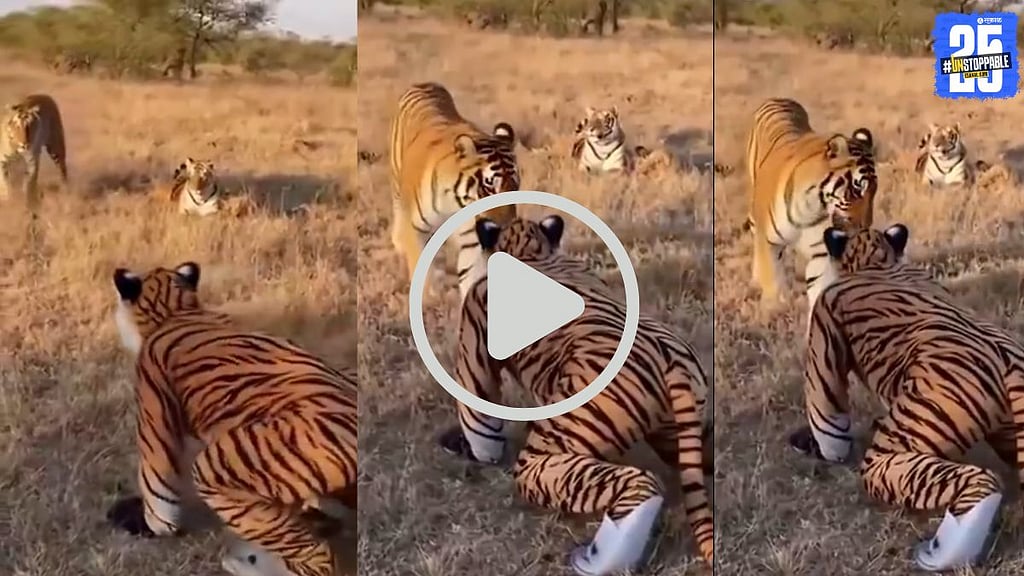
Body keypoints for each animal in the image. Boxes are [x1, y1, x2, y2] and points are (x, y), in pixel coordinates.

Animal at [389, 81, 521, 302]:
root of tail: (424, 83)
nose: (505, 226)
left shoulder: (471, 240)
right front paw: (429, 299)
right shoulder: (416, 230)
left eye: (515, 187)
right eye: (489, 186)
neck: (455, 202)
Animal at [437, 215, 713, 575]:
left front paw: (473, 450)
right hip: (679, 428)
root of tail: (671, 363)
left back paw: (598, 560)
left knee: (639, 485)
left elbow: (477, 416)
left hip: (548, 452)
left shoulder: (475, 337)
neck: (531, 251)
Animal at [742, 97, 878, 324]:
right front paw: (773, 311)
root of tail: (779, 98)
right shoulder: (768, 243)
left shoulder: (820, 254)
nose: (865, 225)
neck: (811, 207)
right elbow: (773, 284)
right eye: (857, 188)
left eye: (875, 191)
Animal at [788, 223, 1024, 572]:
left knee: (978, 482)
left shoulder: (824, 330)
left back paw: (940, 554)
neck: (876, 260)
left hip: (898, 445)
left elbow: (825, 414)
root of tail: (1008, 366)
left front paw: (821, 448)